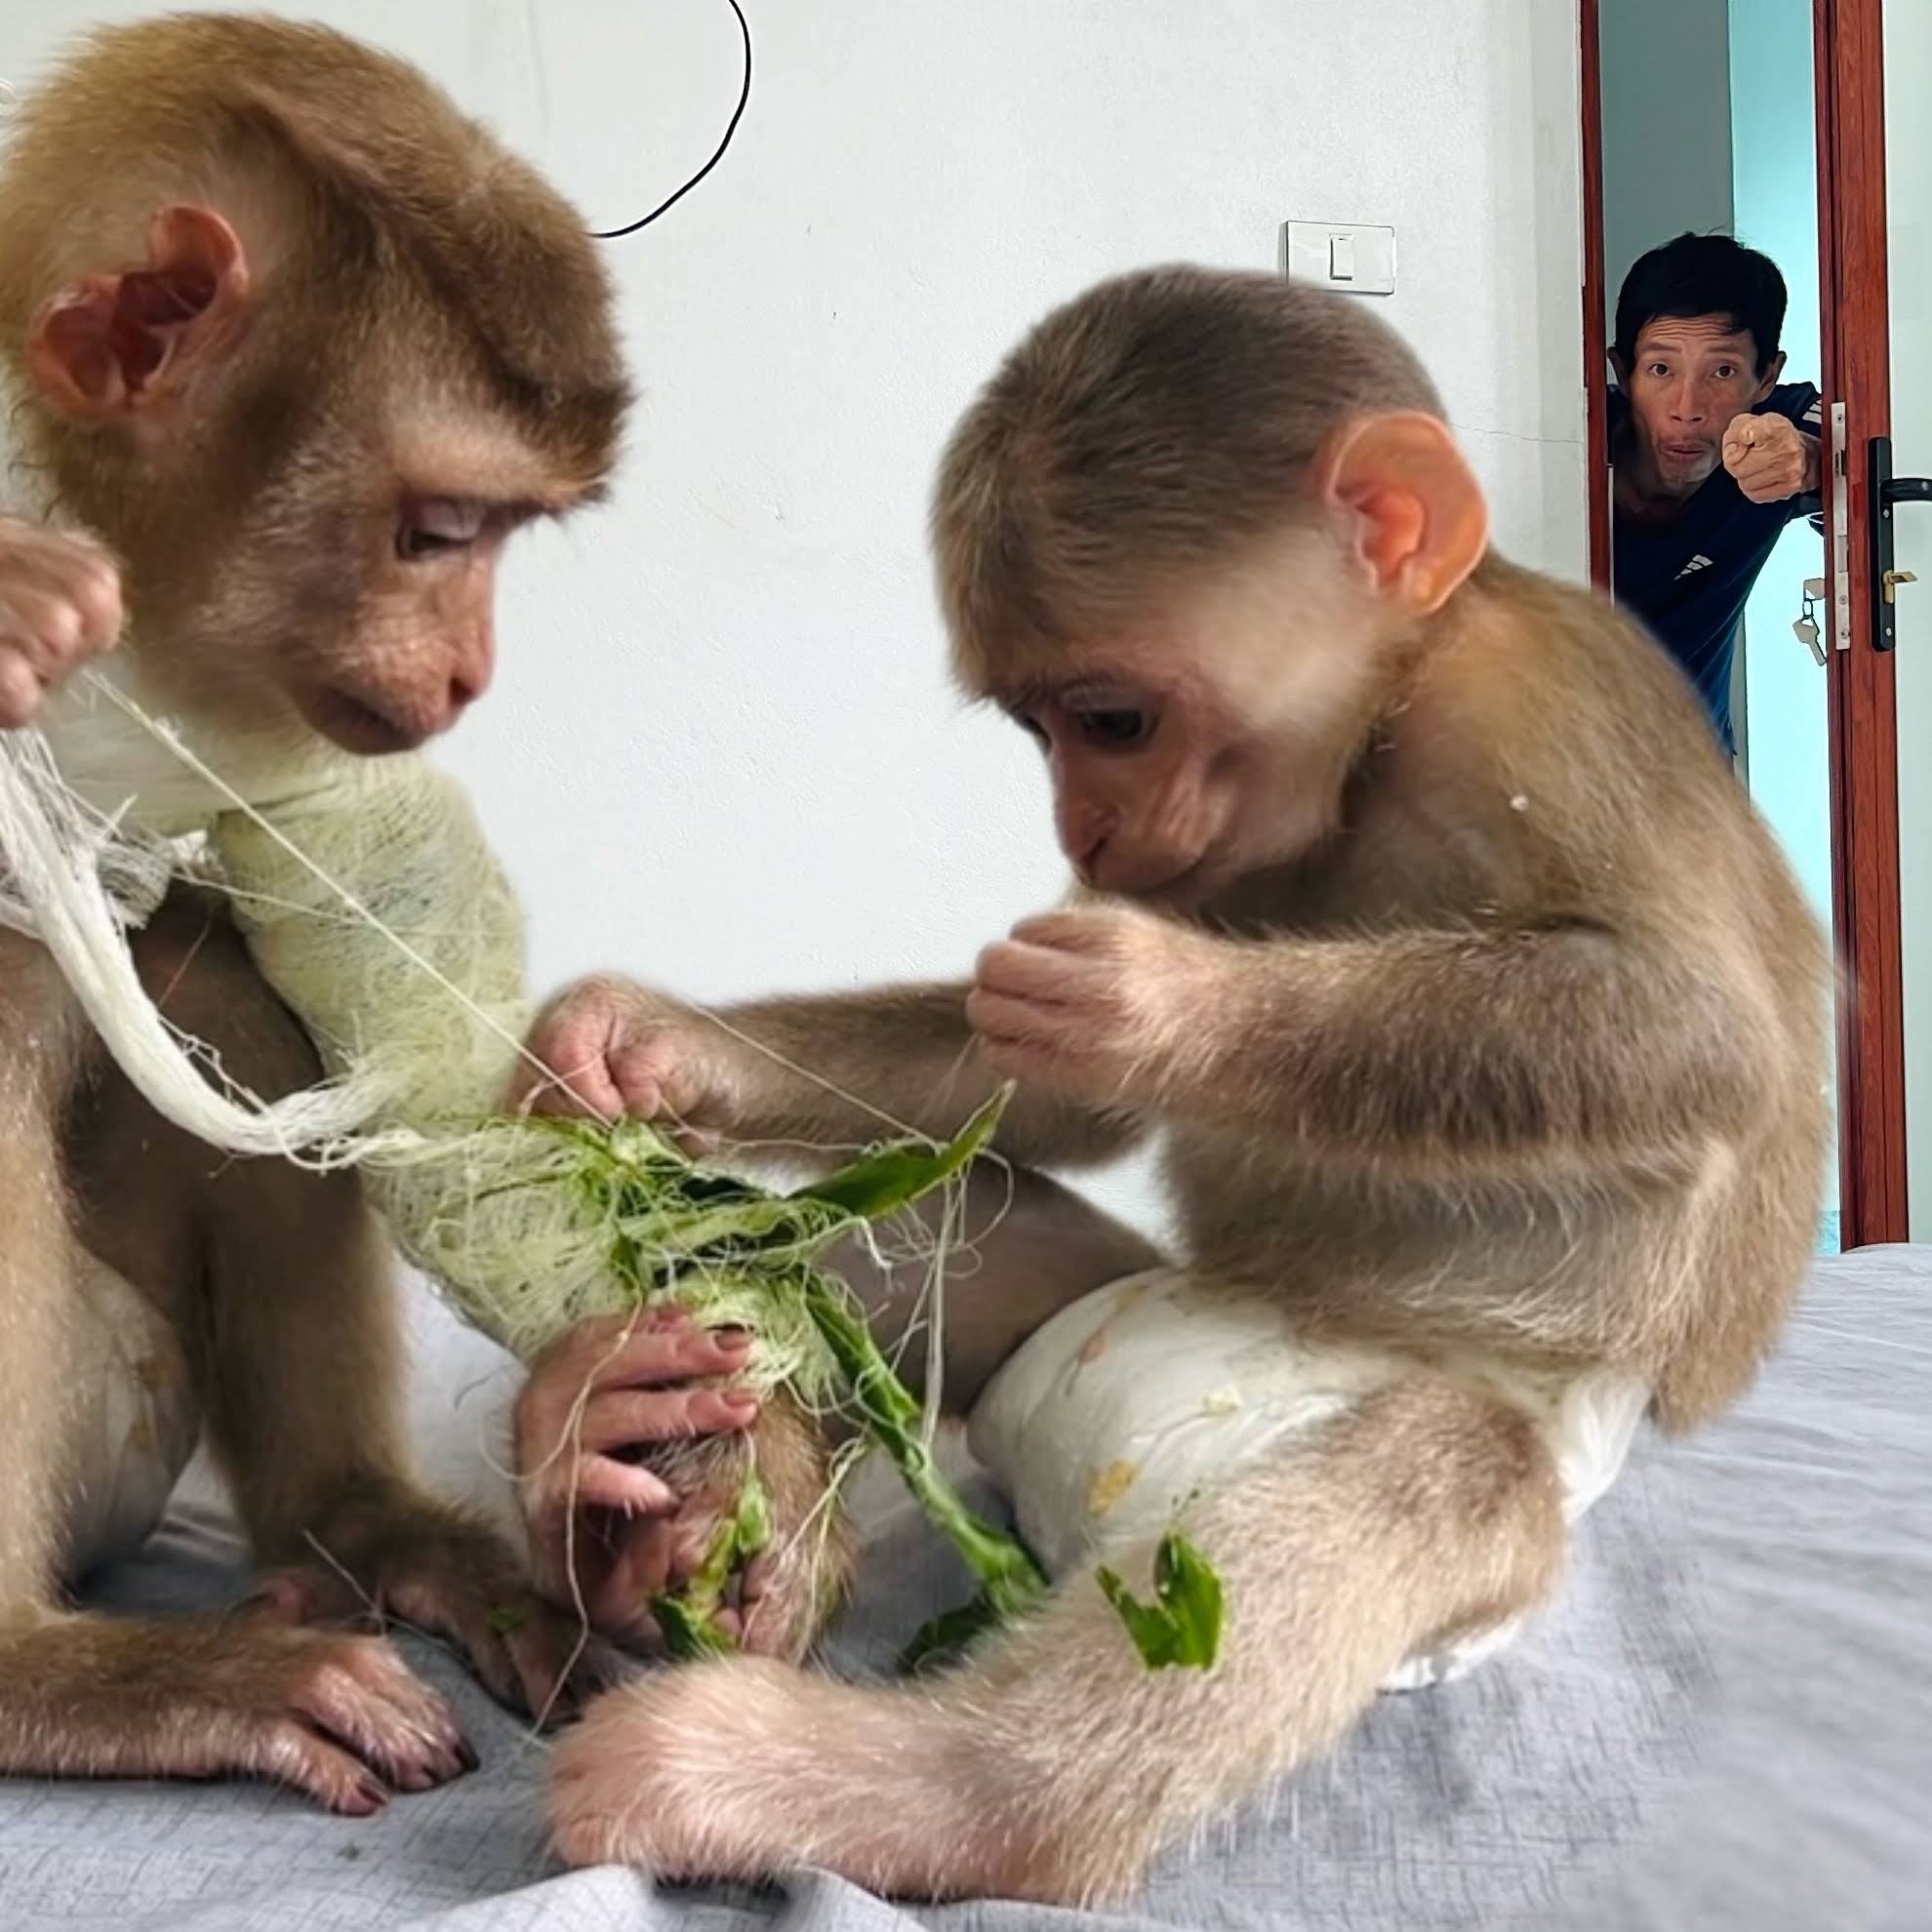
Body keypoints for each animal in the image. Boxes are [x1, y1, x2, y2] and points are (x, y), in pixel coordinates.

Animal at [0, 14, 634, 1810]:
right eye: (440, 534)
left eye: (496, 542)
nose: (476, 670)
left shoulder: (285, 738)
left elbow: (406, 1044)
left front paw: (610, 1397)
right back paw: (51, 1673)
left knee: (218, 982)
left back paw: (356, 1530)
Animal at [517, 266, 1830, 1903]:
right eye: (1039, 732)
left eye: (1112, 721)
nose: (1081, 825)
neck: (1381, 738)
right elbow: (1027, 1099)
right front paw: (648, 1042)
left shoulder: (1552, 703)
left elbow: (1697, 1035)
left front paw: (1156, 1007)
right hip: (1069, 1331)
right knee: (896, 1236)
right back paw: (649, 1465)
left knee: (1430, 1468)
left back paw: (906, 1792)